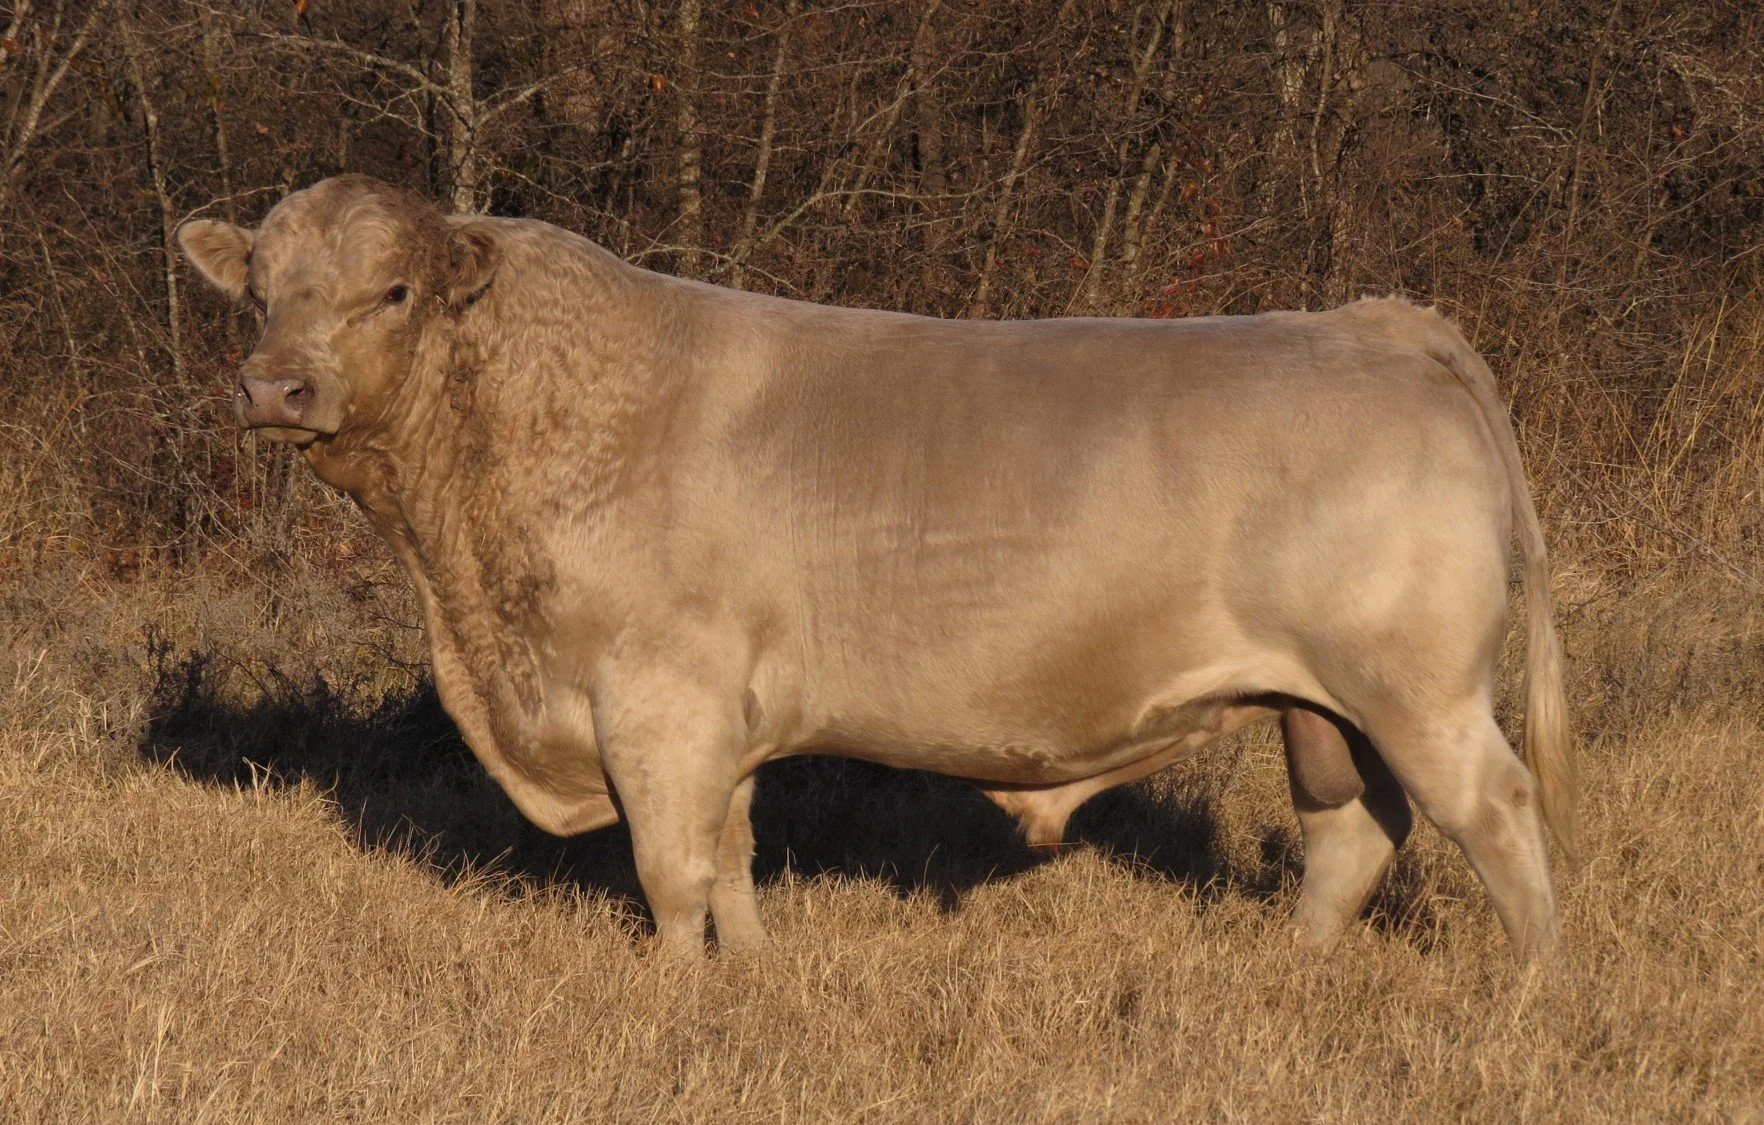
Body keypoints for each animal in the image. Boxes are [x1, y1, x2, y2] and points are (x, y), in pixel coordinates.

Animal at [177, 175, 1574, 960]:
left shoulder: (659, 698)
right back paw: (1293, 969)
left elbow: (670, 872)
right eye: (258, 293)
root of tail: (1378, 322)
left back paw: (1534, 992)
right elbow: (732, 858)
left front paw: (669, 998)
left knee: (1496, 812)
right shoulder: (721, 716)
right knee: (1355, 832)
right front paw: (750, 980)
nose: (272, 386)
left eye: (393, 291)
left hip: (1417, 688)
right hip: (1323, 703)